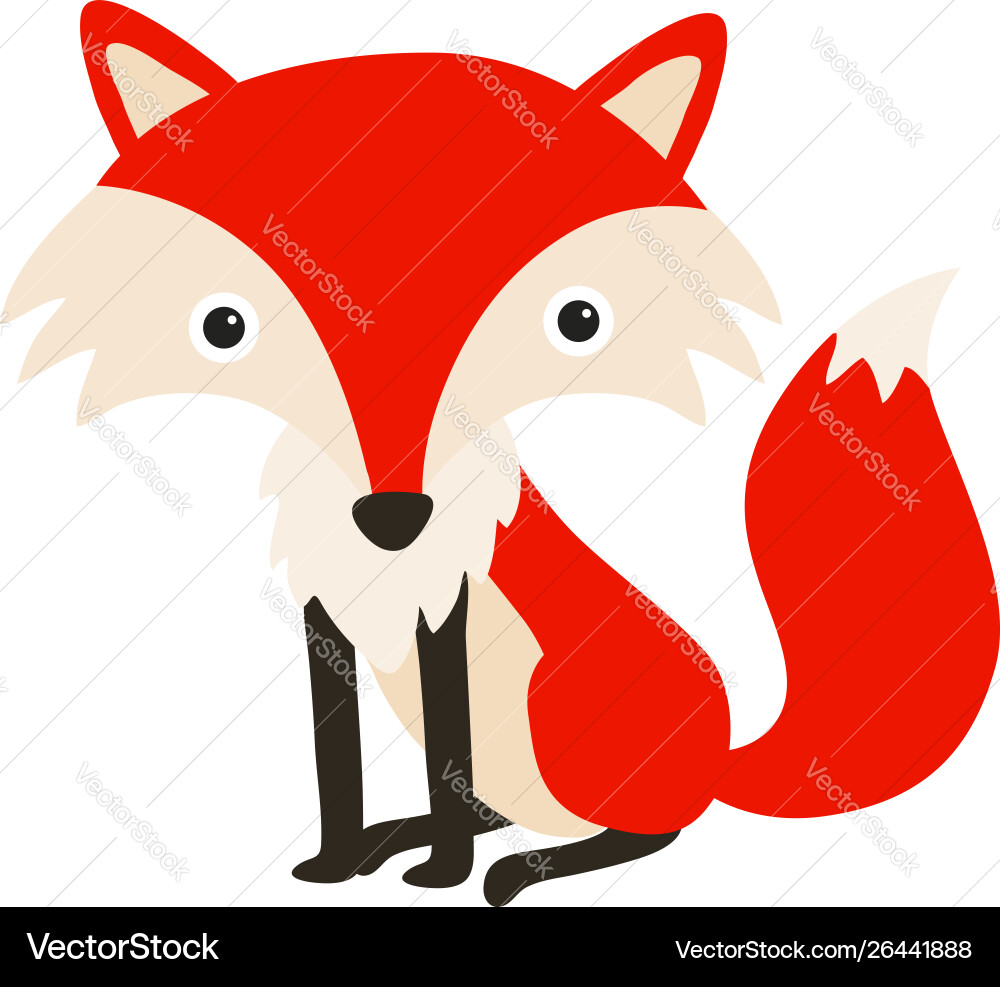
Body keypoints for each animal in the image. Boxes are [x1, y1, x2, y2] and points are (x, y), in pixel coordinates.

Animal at [4, 2, 998, 907]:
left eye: (579, 320)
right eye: (223, 327)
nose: (394, 517)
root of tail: (719, 751)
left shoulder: (447, 614)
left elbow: (449, 757)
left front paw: (440, 875)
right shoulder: (325, 621)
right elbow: (338, 768)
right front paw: (335, 861)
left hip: (558, 710)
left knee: (644, 830)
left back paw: (521, 868)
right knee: (495, 807)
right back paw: (402, 839)